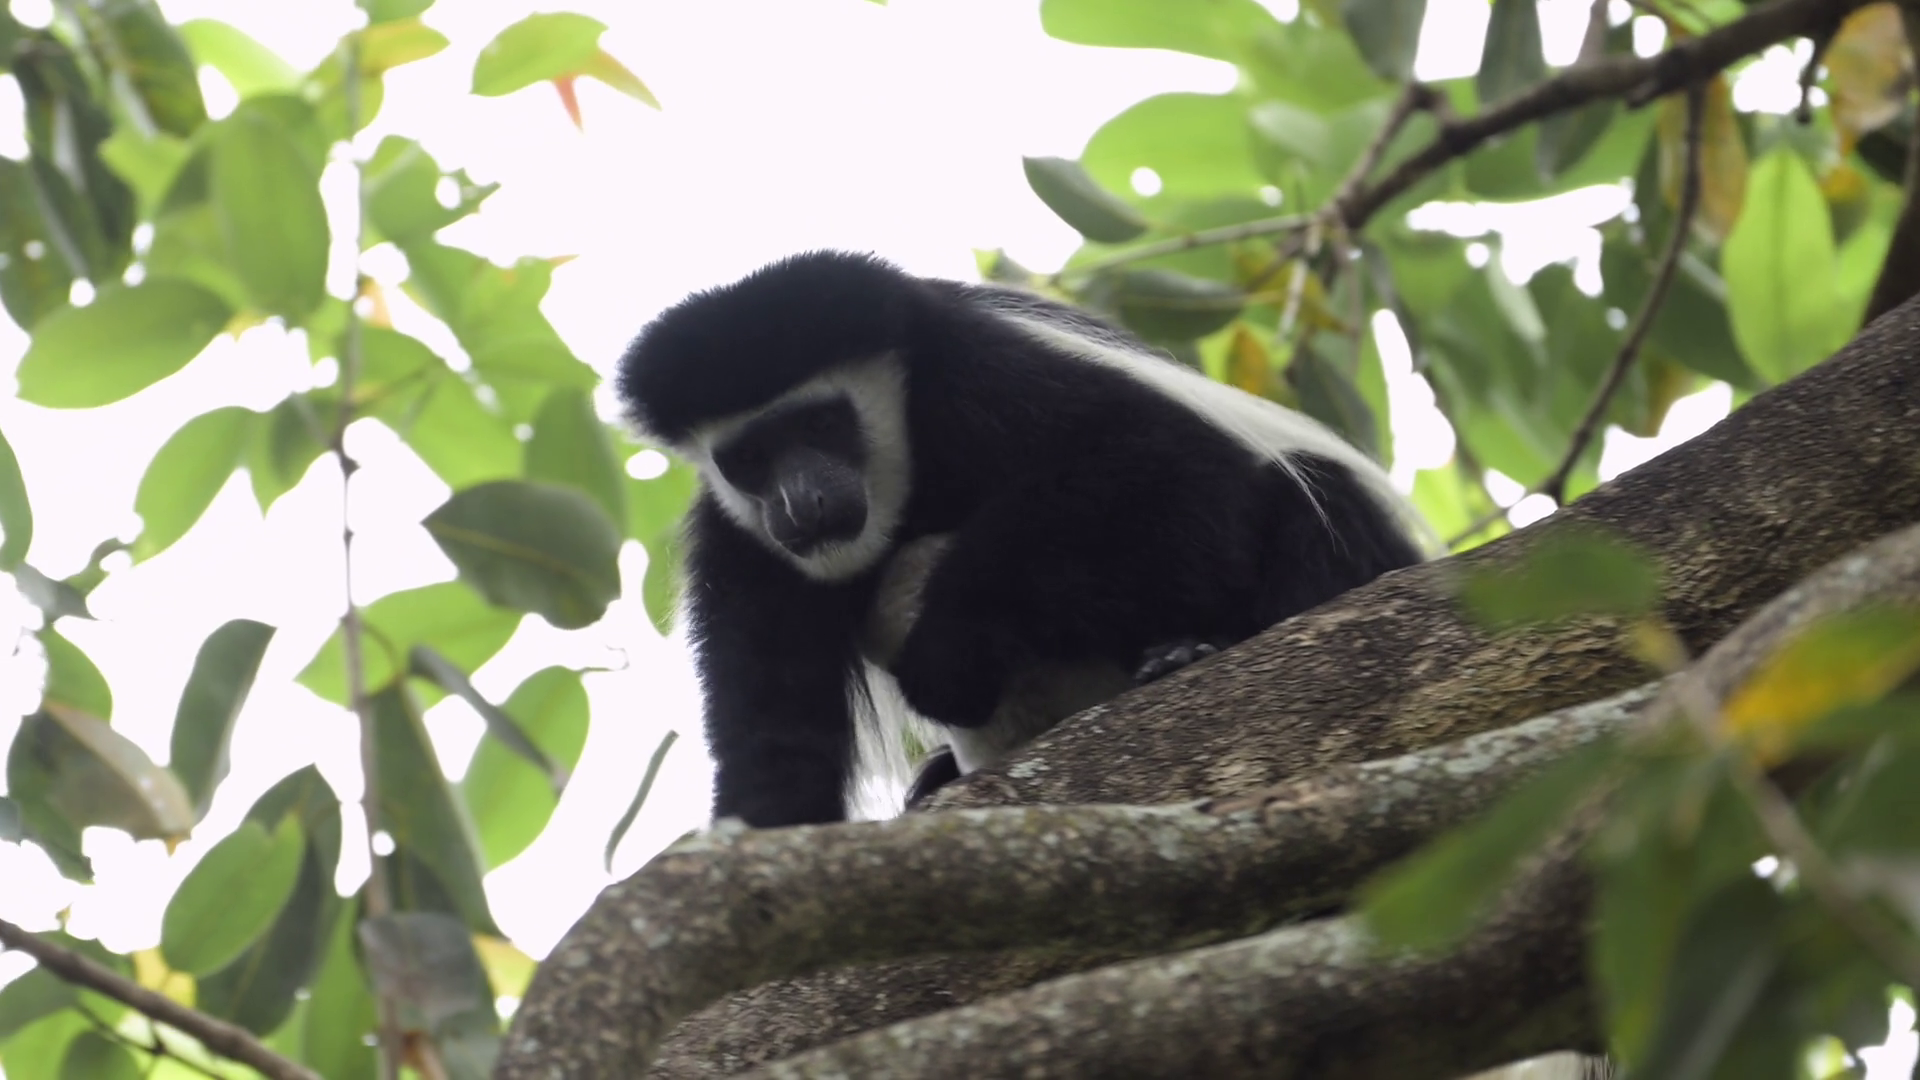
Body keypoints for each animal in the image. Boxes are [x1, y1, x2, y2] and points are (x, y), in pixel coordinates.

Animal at [614, 250, 1436, 828]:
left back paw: (1184, 653)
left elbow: (1165, 468)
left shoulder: (979, 379)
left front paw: (945, 657)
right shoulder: (741, 547)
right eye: (751, 458)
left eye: (821, 422)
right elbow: (777, 741)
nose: (802, 502)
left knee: (1308, 502)